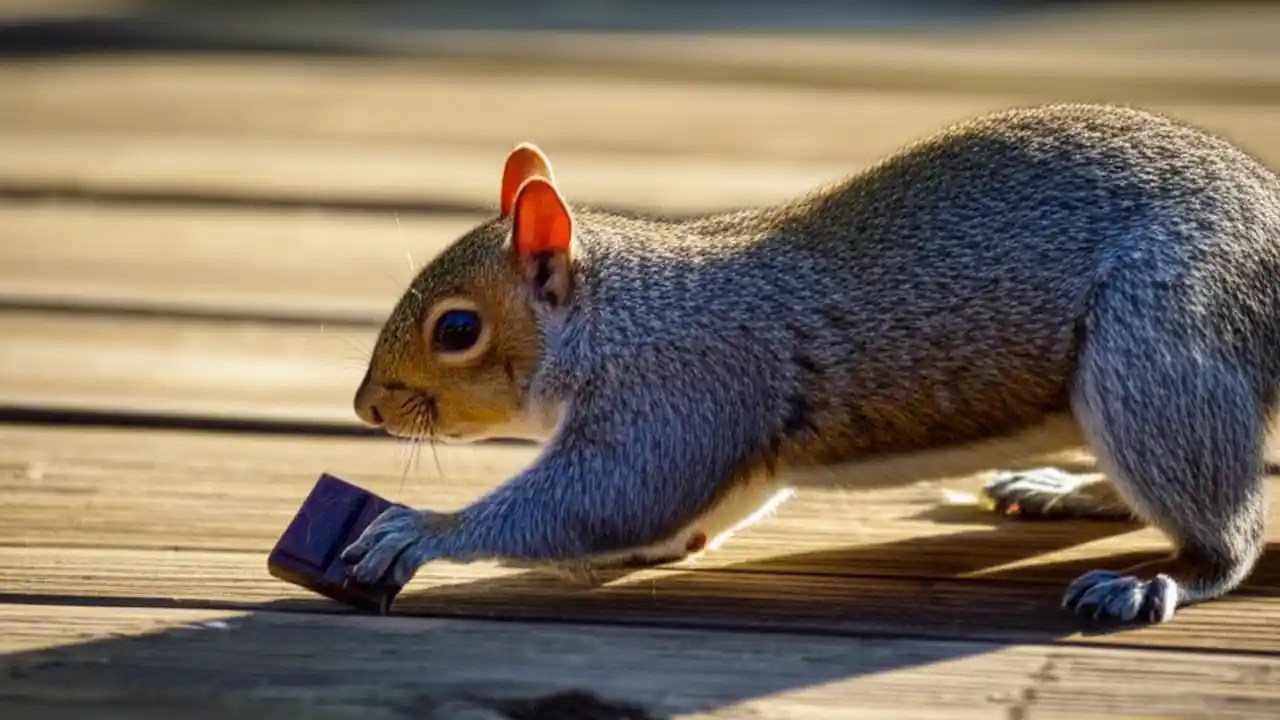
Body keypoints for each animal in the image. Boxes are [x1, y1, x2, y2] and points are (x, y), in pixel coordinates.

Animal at [342, 103, 1280, 625]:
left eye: (457, 328)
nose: (367, 409)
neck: (622, 313)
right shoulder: (732, 432)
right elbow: (687, 506)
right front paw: (657, 548)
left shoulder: (687, 381)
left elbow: (611, 493)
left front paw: (423, 528)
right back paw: (1070, 488)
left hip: (1157, 346)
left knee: (1221, 531)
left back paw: (1158, 581)